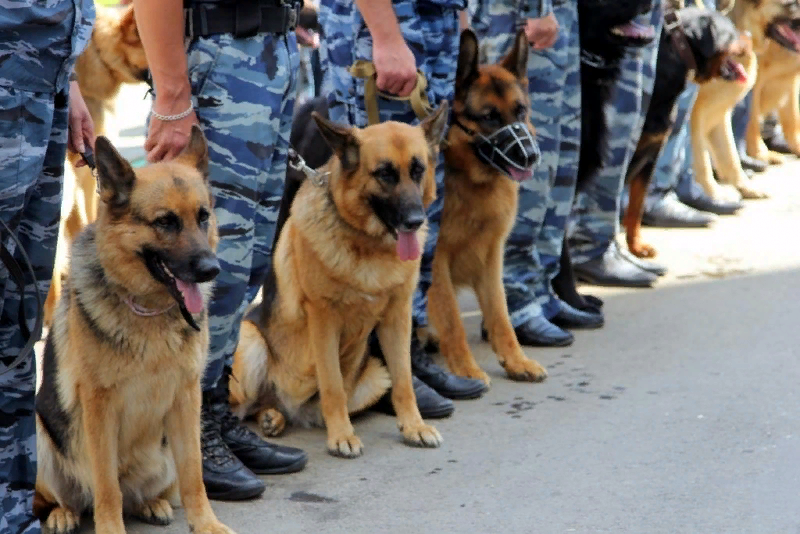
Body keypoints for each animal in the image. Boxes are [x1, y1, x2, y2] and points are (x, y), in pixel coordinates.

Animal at [34, 126, 234, 534]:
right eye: (165, 222)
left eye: (203, 217)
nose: (211, 270)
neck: (148, 310)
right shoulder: (99, 406)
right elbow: (106, 484)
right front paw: (110, 528)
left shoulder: (187, 397)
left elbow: (195, 474)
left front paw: (205, 523)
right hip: (40, 437)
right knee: (68, 496)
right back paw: (63, 513)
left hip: (163, 453)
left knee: (143, 492)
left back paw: (151, 503)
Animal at [228, 103, 450, 460]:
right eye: (384, 173)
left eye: (418, 170)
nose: (415, 222)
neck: (368, 244)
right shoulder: (323, 319)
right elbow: (332, 385)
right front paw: (342, 435)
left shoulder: (397, 317)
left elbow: (404, 380)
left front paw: (414, 426)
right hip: (251, 345)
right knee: (239, 405)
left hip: (375, 377)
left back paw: (274, 417)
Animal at [424, 29, 552, 388]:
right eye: (489, 117)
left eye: (520, 111)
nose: (530, 157)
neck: (472, 182)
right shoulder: (435, 261)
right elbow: (452, 320)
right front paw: (465, 369)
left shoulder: (491, 257)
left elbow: (500, 314)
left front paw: (516, 361)